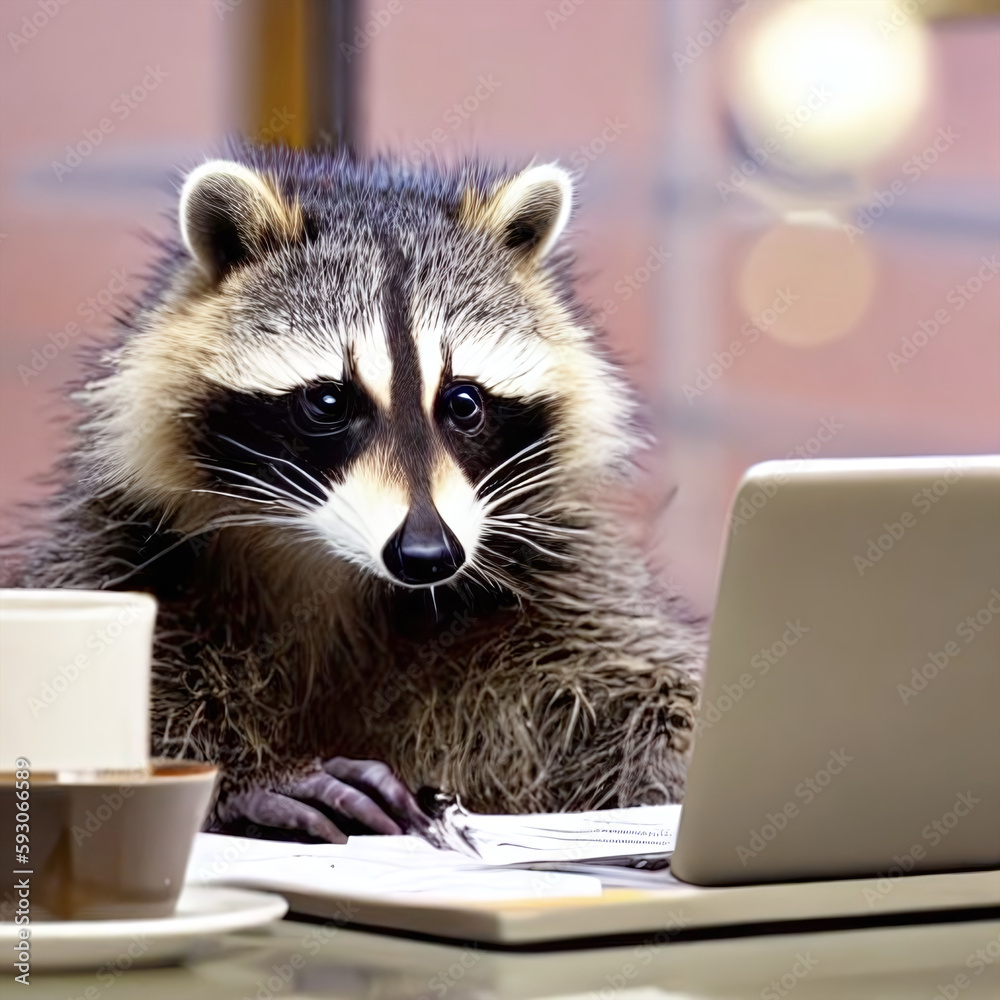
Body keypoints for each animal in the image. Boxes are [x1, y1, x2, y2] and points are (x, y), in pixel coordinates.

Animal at [7, 144, 705, 842]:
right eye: (328, 402)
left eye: (464, 403)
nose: (428, 555)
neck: (336, 566)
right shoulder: (119, 548)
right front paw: (253, 775)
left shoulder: (559, 574)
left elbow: (650, 684)